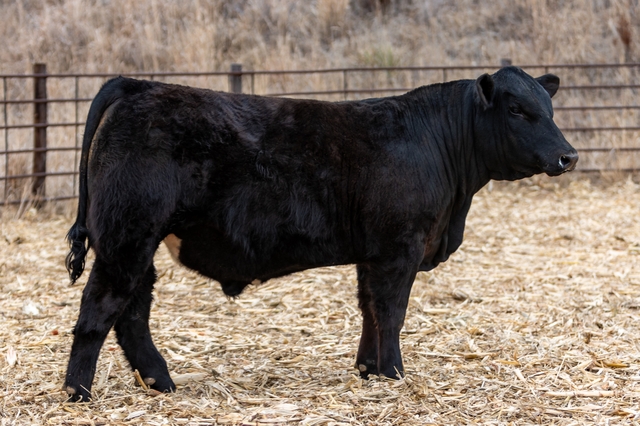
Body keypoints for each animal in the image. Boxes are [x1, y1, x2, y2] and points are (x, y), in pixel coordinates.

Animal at [63, 66, 577, 401]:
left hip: (139, 242)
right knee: (100, 307)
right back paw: (78, 392)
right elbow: (392, 312)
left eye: (550, 107)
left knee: (132, 312)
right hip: (126, 236)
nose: (568, 156)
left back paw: (161, 383)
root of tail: (139, 84)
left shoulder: (373, 253)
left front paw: (369, 370)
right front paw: (394, 374)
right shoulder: (400, 247)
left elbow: (370, 310)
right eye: (517, 109)